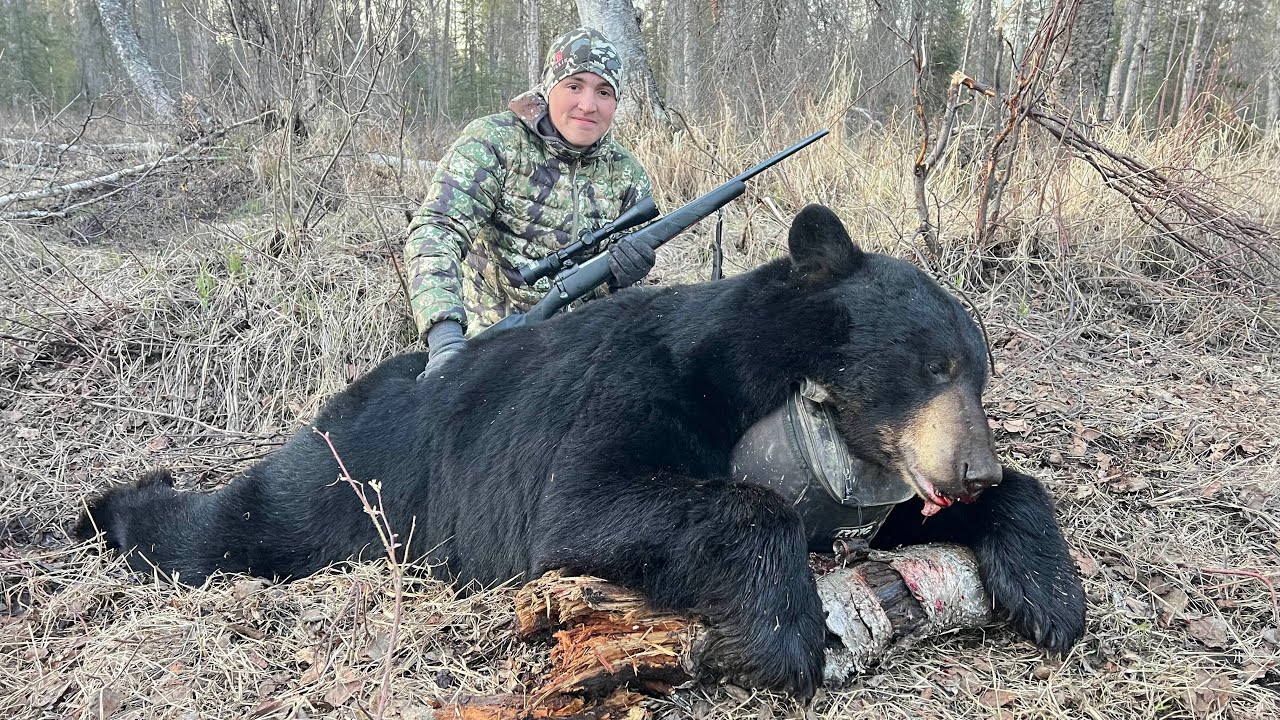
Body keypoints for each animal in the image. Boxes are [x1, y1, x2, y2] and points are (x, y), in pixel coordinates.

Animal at [77, 205, 1086, 699]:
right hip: (352, 478)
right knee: (233, 527)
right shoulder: (645, 382)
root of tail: (349, 396)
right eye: (931, 363)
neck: (755, 377)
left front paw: (1051, 594)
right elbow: (594, 498)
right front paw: (788, 633)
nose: (973, 468)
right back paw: (110, 507)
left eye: (981, 374)